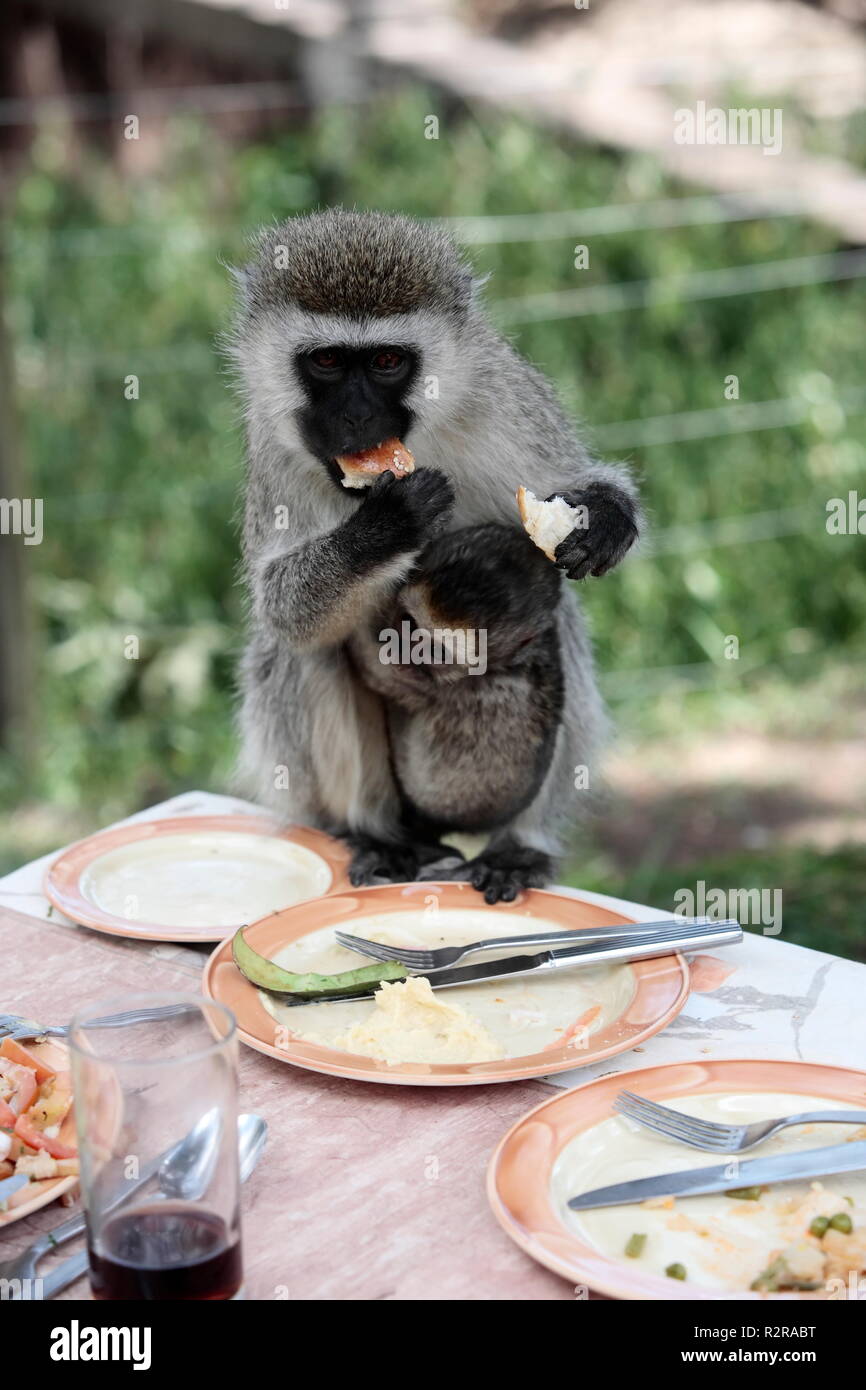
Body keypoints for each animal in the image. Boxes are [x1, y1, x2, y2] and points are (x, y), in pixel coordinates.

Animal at [227, 208, 639, 901]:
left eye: (388, 361)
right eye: (328, 361)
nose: (358, 416)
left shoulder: (507, 396)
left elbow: (569, 482)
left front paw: (605, 518)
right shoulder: (273, 451)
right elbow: (283, 608)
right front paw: (389, 523)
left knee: (562, 624)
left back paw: (518, 846)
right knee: (305, 653)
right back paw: (381, 838)